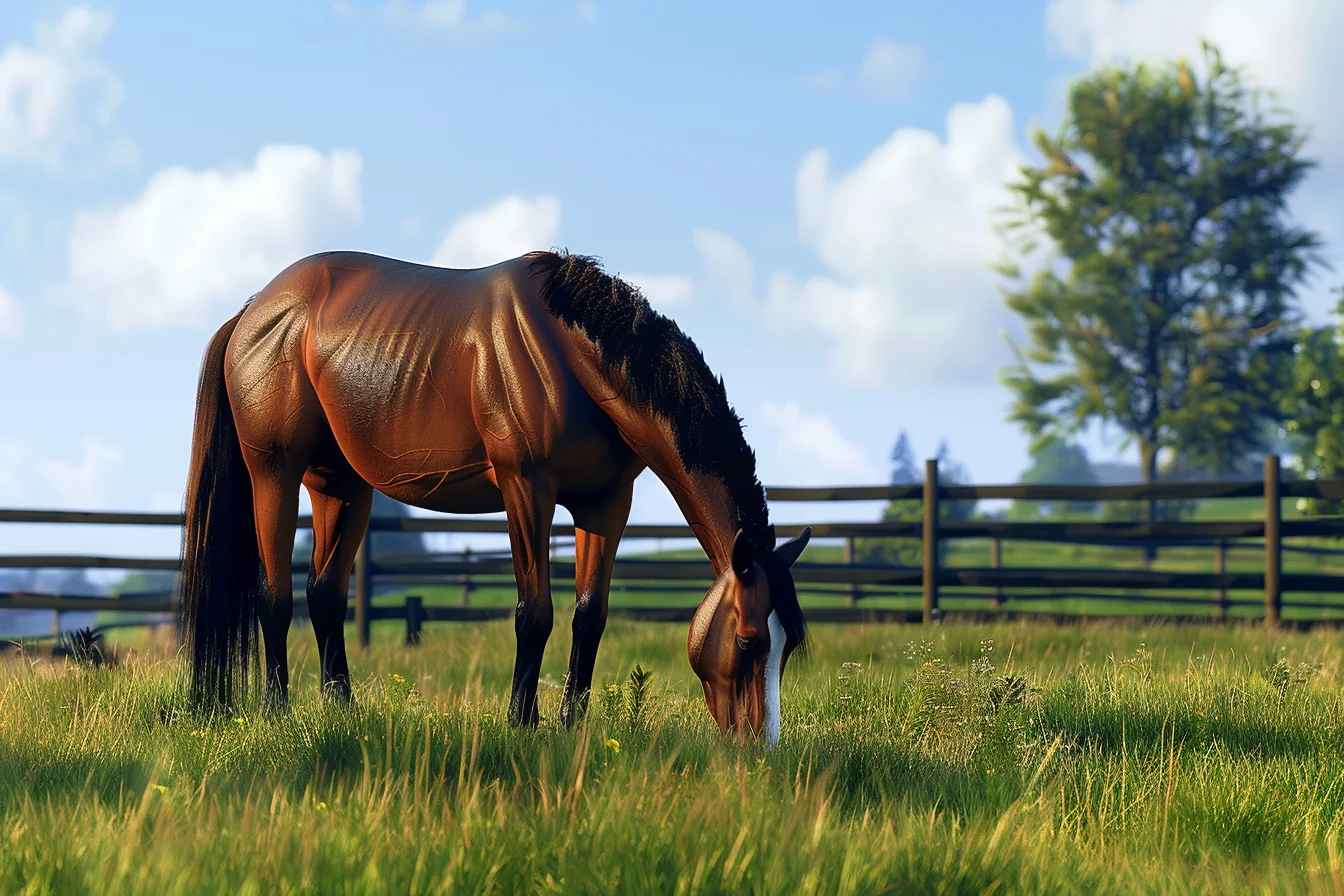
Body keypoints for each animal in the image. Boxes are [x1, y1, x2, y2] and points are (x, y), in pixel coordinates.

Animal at [179, 249, 810, 743]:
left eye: (789, 648)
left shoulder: (606, 504)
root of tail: (254, 311)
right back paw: (277, 712)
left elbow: (590, 616)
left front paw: (571, 725)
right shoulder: (525, 489)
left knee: (324, 593)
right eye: (749, 640)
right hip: (275, 475)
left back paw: (341, 710)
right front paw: (521, 722)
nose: (761, 749)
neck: (570, 355)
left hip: (341, 485)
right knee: (275, 596)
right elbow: (535, 613)